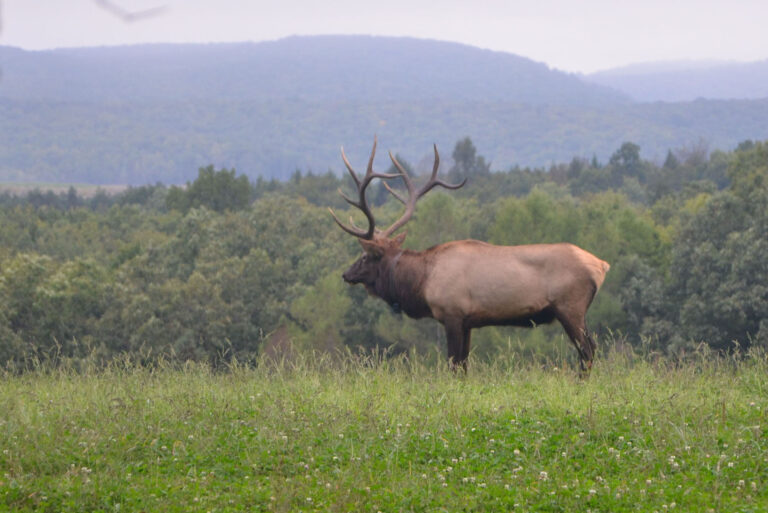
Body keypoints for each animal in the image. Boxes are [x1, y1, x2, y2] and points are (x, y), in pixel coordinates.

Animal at [329, 138, 610, 374]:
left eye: (364, 256)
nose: (345, 274)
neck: (422, 281)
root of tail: (601, 265)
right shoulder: (468, 322)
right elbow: (464, 365)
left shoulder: (452, 313)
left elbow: (454, 364)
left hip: (570, 307)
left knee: (588, 351)